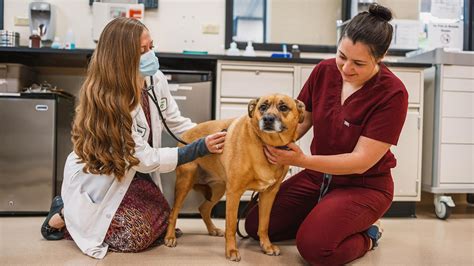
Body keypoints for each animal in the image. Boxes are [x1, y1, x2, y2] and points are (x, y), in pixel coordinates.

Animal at [163, 93, 304, 260]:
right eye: (263, 107)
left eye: (283, 107)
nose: (268, 119)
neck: (265, 144)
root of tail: (186, 134)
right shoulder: (234, 193)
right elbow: (230, 226)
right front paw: (231, 250)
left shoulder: (269, 194)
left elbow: (264, 224)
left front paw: (267, 246)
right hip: (185, 183)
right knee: (174, 212)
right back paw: (170, 237)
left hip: (219, 189)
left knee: (203, 208)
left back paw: (212, 229)